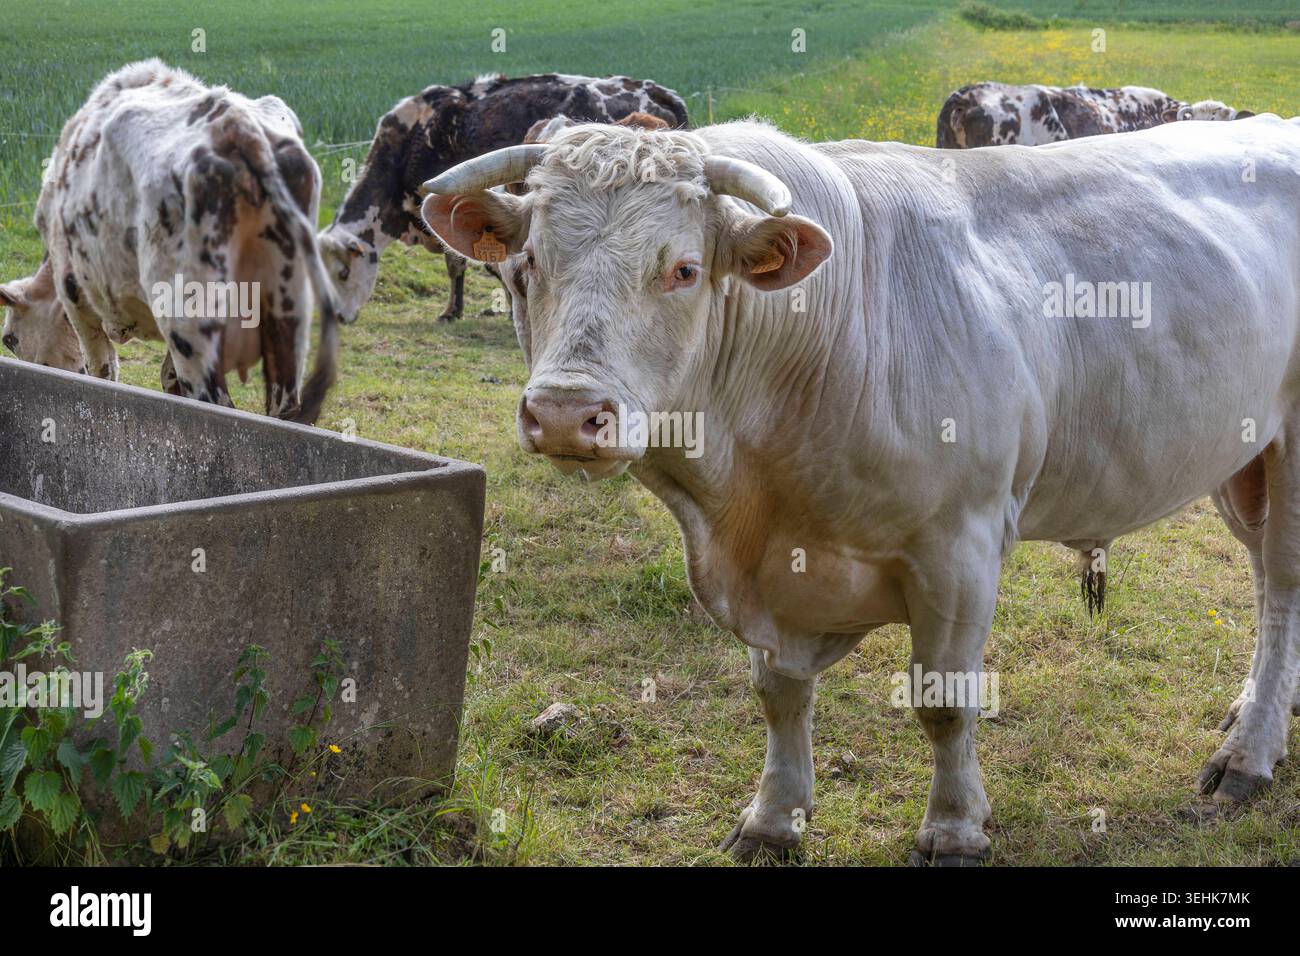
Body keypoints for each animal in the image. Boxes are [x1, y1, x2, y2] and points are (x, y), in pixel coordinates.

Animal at [0, 59, 339, 422]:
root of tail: (235, 124)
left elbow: (103, 371)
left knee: (217, 403)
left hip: (189, 317)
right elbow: (168, 379)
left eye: (9, 339)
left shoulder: (75, 294)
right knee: (283, 409)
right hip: (287, 312)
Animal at [418, 115, 1300, 864]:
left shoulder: (960, 546)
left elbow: (944, 703)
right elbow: (779, 694)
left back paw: (1248, 753)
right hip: (1243, 461)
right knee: (1262, 579)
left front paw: (954, 829)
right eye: (526, 266)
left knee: (1283, 587)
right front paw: (774, 817)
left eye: (683, 269)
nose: (567, 413)